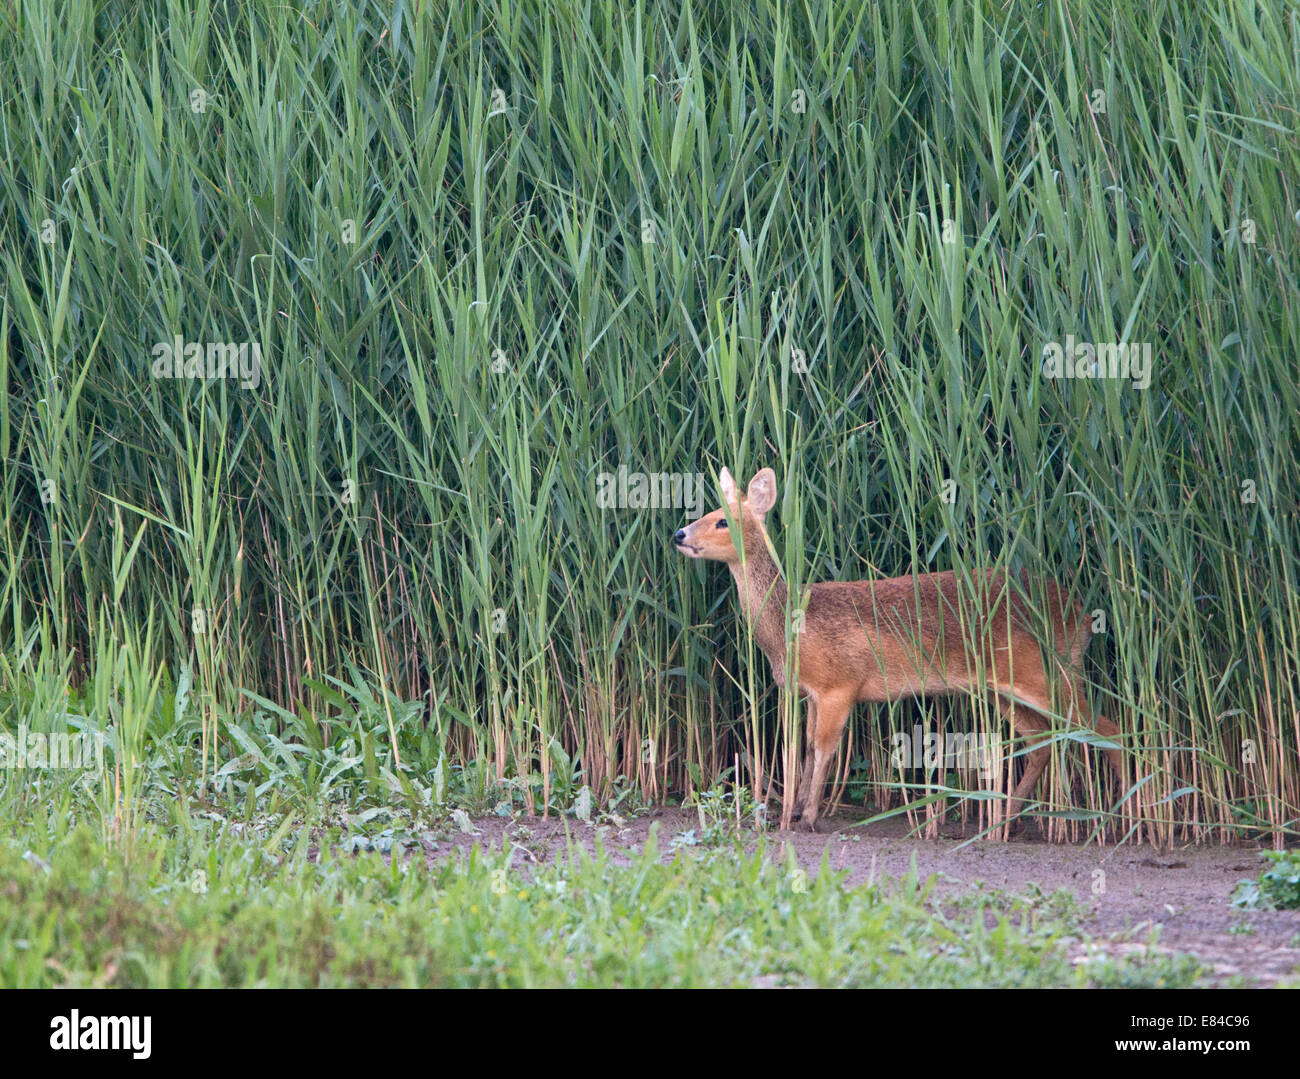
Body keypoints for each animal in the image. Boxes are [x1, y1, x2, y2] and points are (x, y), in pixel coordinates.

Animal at [673, 466, 1129, 834]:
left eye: (721, 521)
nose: (679, 534)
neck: (794, 623)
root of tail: (1080, 614)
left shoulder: (840, 686)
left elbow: (823, 749)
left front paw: (808, 818)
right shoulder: (812, 693)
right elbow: (804, 751)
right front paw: (797, 809)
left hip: (1048, 673)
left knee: (1109, 731)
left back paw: (1126, 818)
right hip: (1004, 688)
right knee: (1045, 740)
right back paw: (1008, 819)